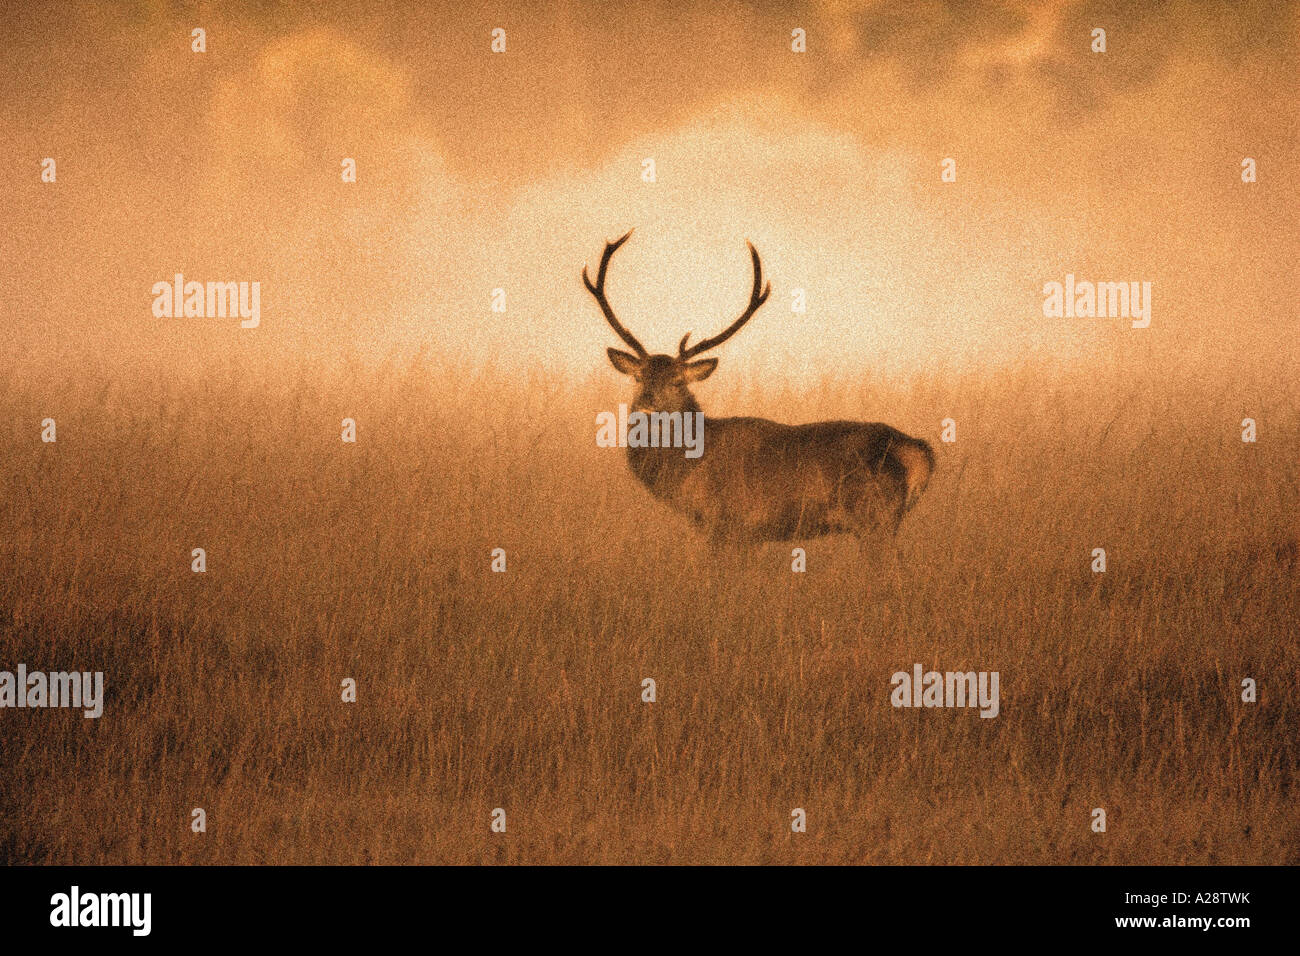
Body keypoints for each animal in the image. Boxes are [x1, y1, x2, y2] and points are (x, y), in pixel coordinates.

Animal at [585, 231, 935, 547]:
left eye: (678, 381)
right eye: (638, 378)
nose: (646, 407)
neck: (688, 467)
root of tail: (920, 451)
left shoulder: (730, 524)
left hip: (874, 517)